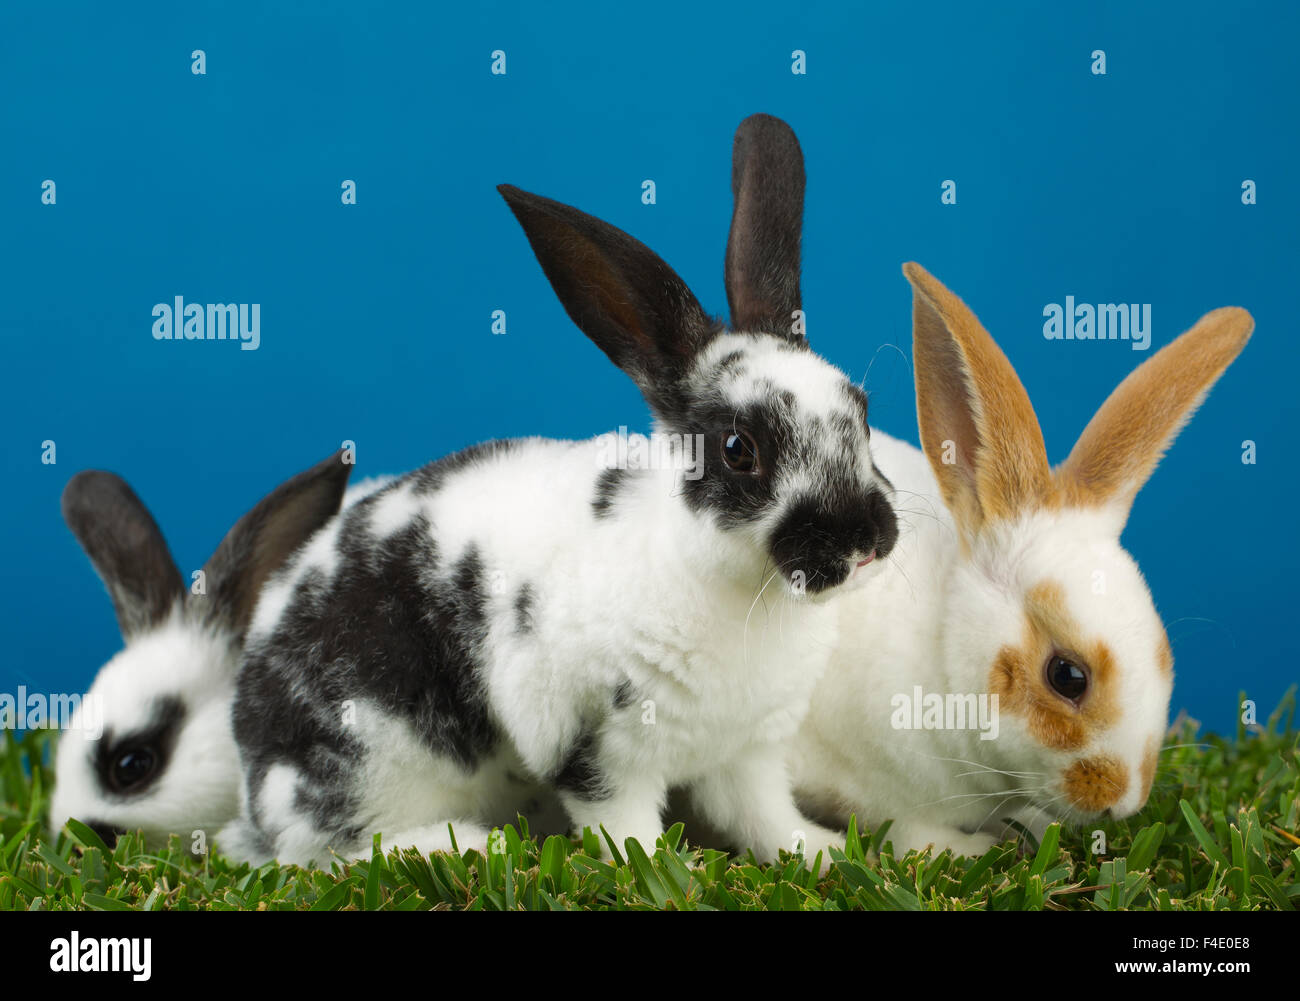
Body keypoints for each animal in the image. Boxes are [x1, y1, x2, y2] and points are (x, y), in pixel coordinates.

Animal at [218, 113, 900, 868]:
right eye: (738, 450)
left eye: (861, 409)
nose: (866, 541)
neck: (743, 593)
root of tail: (251, 772)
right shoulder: (595, 747)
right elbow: (625, 830)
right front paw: (669, 872)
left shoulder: (745, 754)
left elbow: (764, 819)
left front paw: (828, 854)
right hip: (362, 762)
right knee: (333, 852)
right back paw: (472, 846)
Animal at [791, 262, 1253, 857]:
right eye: (1067, 676)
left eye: (1164, 654)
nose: (1125, 800)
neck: (943, 655)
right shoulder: (885, 796)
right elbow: (916, 836)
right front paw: (980, 851)